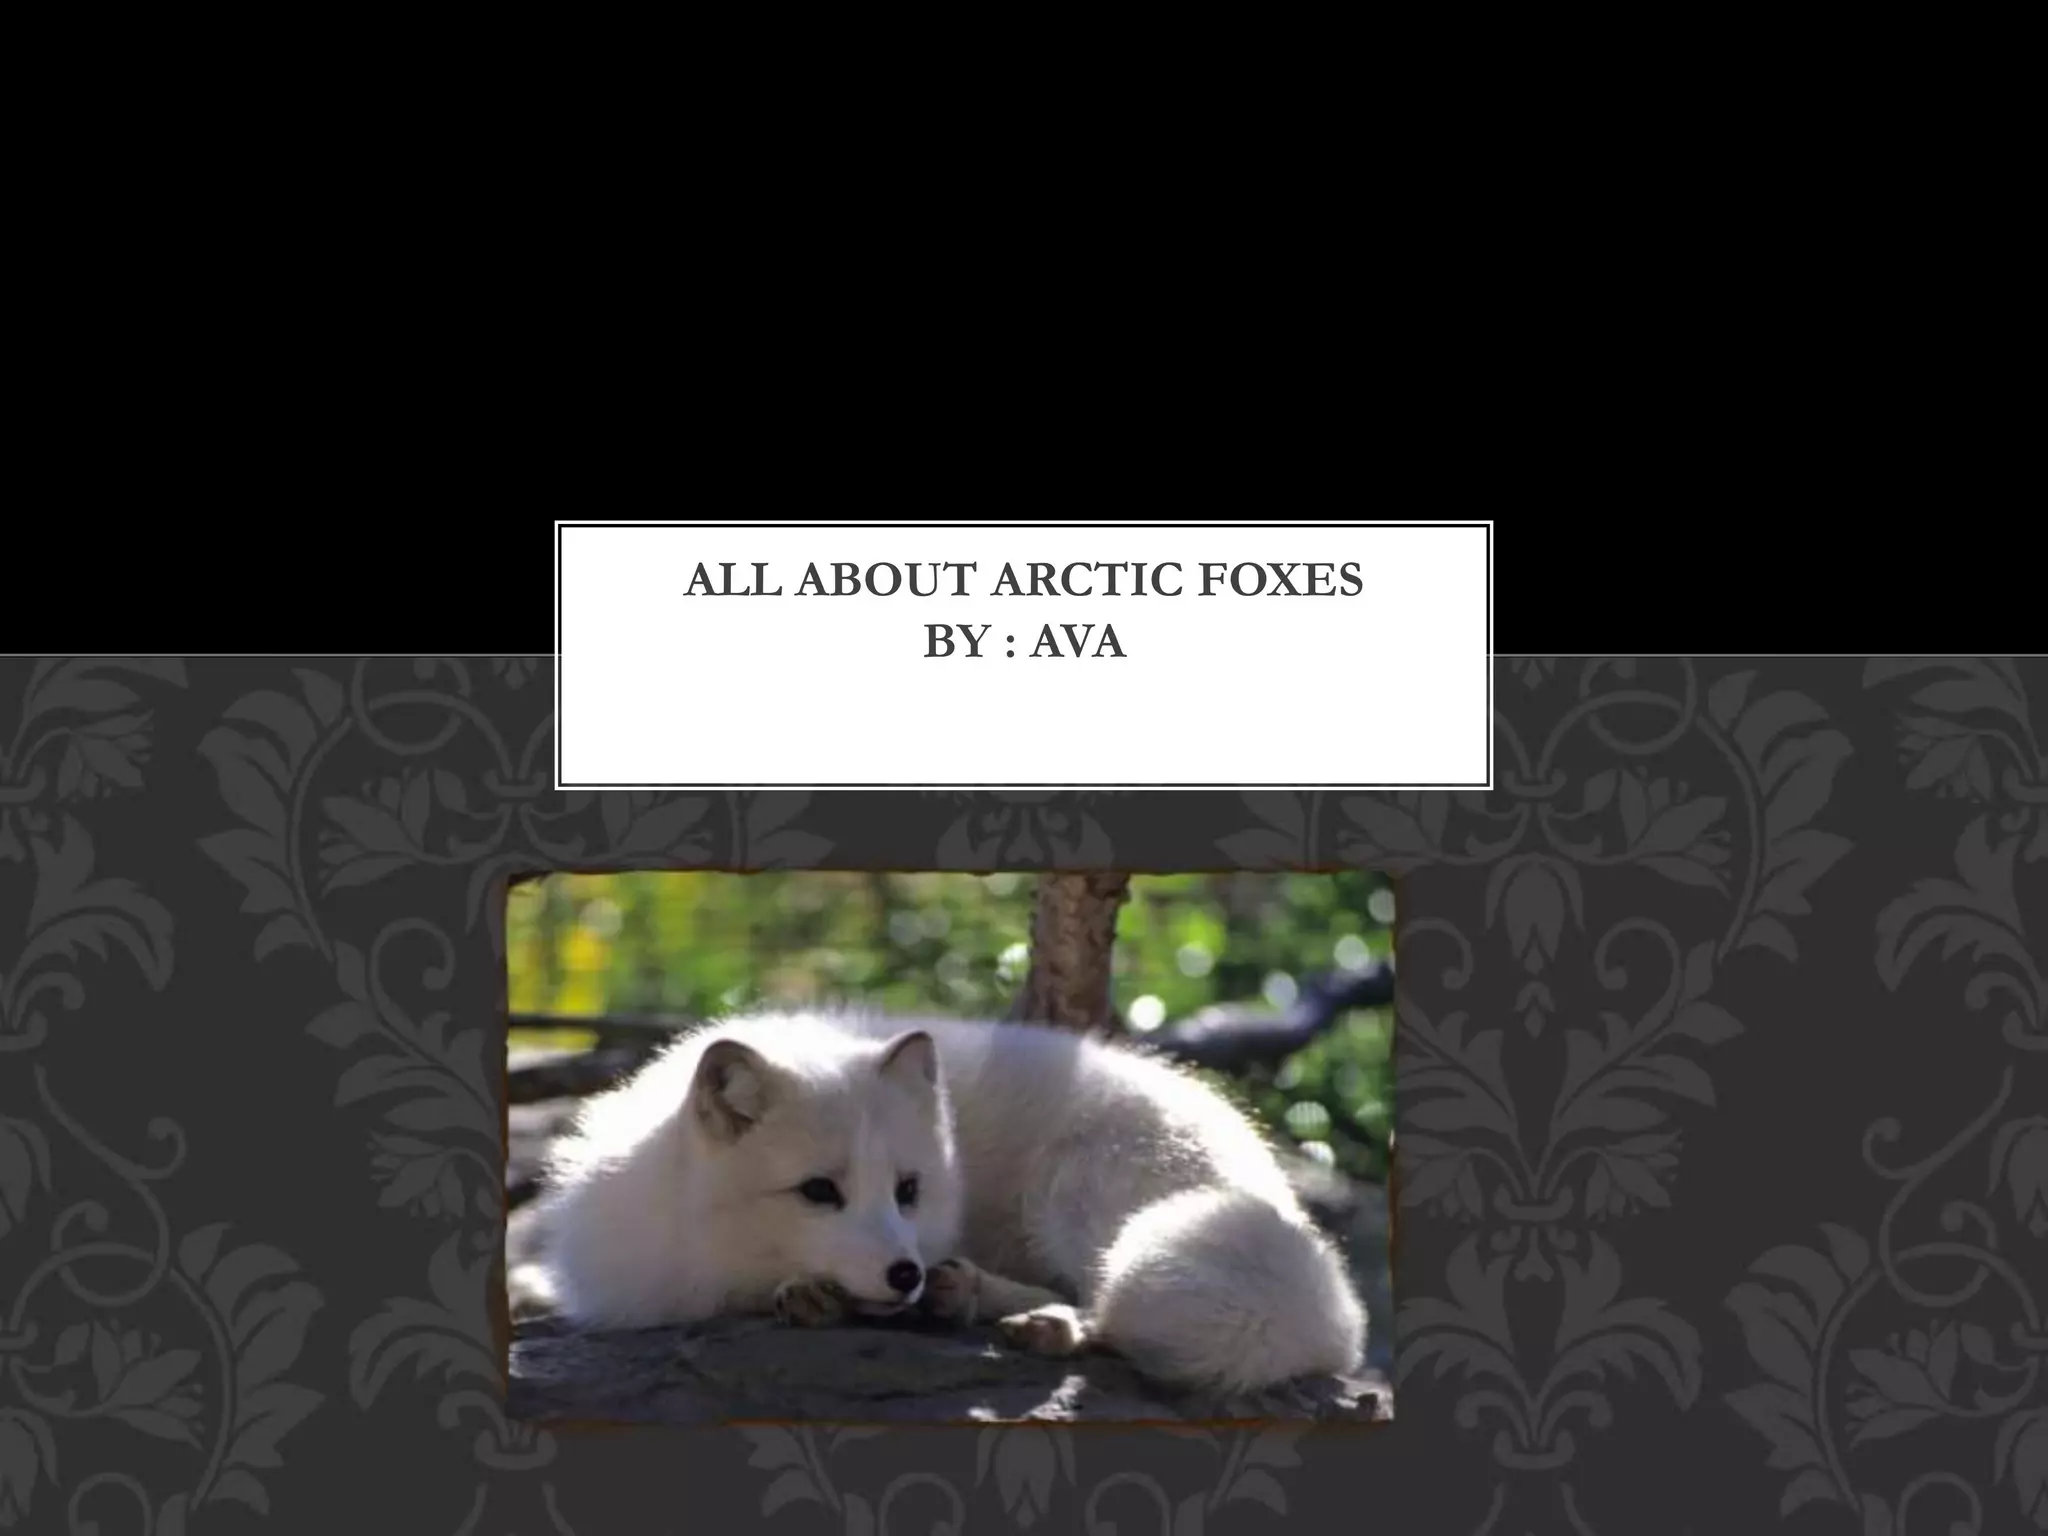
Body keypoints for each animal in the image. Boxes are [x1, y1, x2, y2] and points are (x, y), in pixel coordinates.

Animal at [512, 1007, 1366, 1395]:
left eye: (908, 1191)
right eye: (818, 1191)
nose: (904, 1275)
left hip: (1082, 1191)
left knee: (1101, 1304)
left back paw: (1020, 1313)